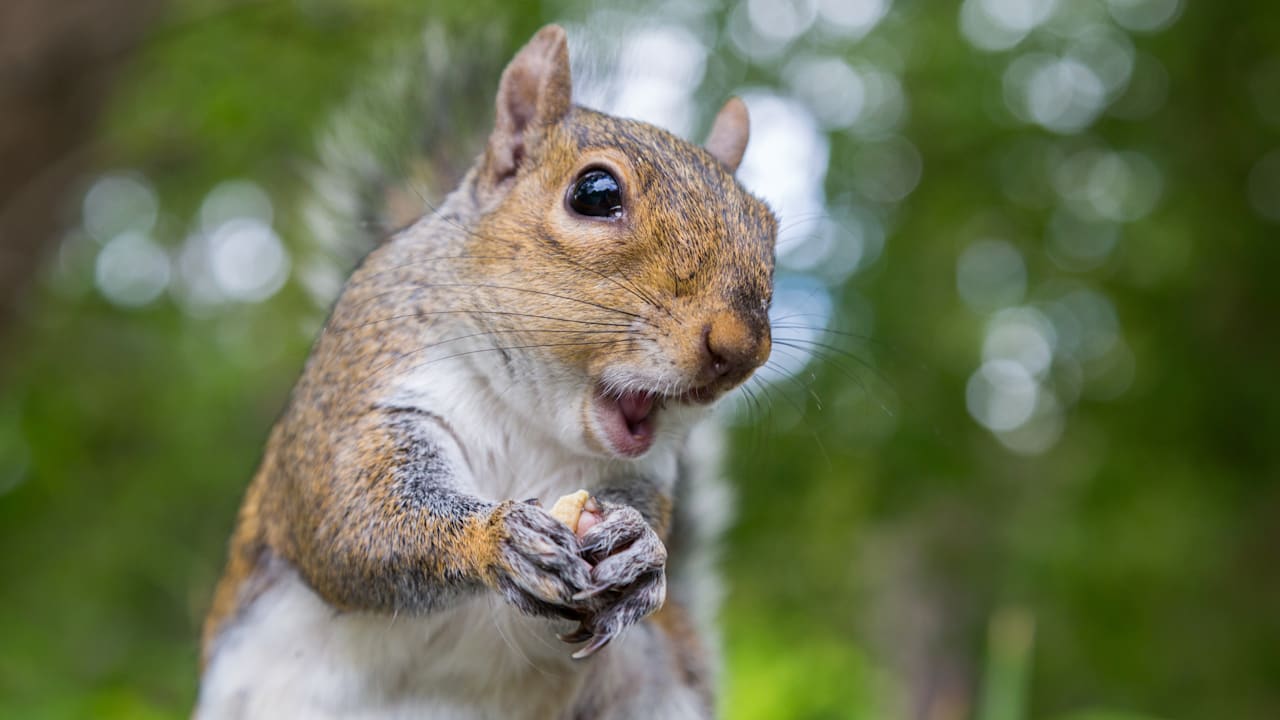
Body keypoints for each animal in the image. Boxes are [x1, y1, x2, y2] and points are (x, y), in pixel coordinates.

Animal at [195, 24, 777, 720]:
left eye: (770, 228)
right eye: (596, 193)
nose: (741, 347)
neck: (531, 415)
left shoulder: (640, 470)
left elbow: (645, 513)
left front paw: (640, 550)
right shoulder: (362, 393)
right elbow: (350, 519)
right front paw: (495, 538)